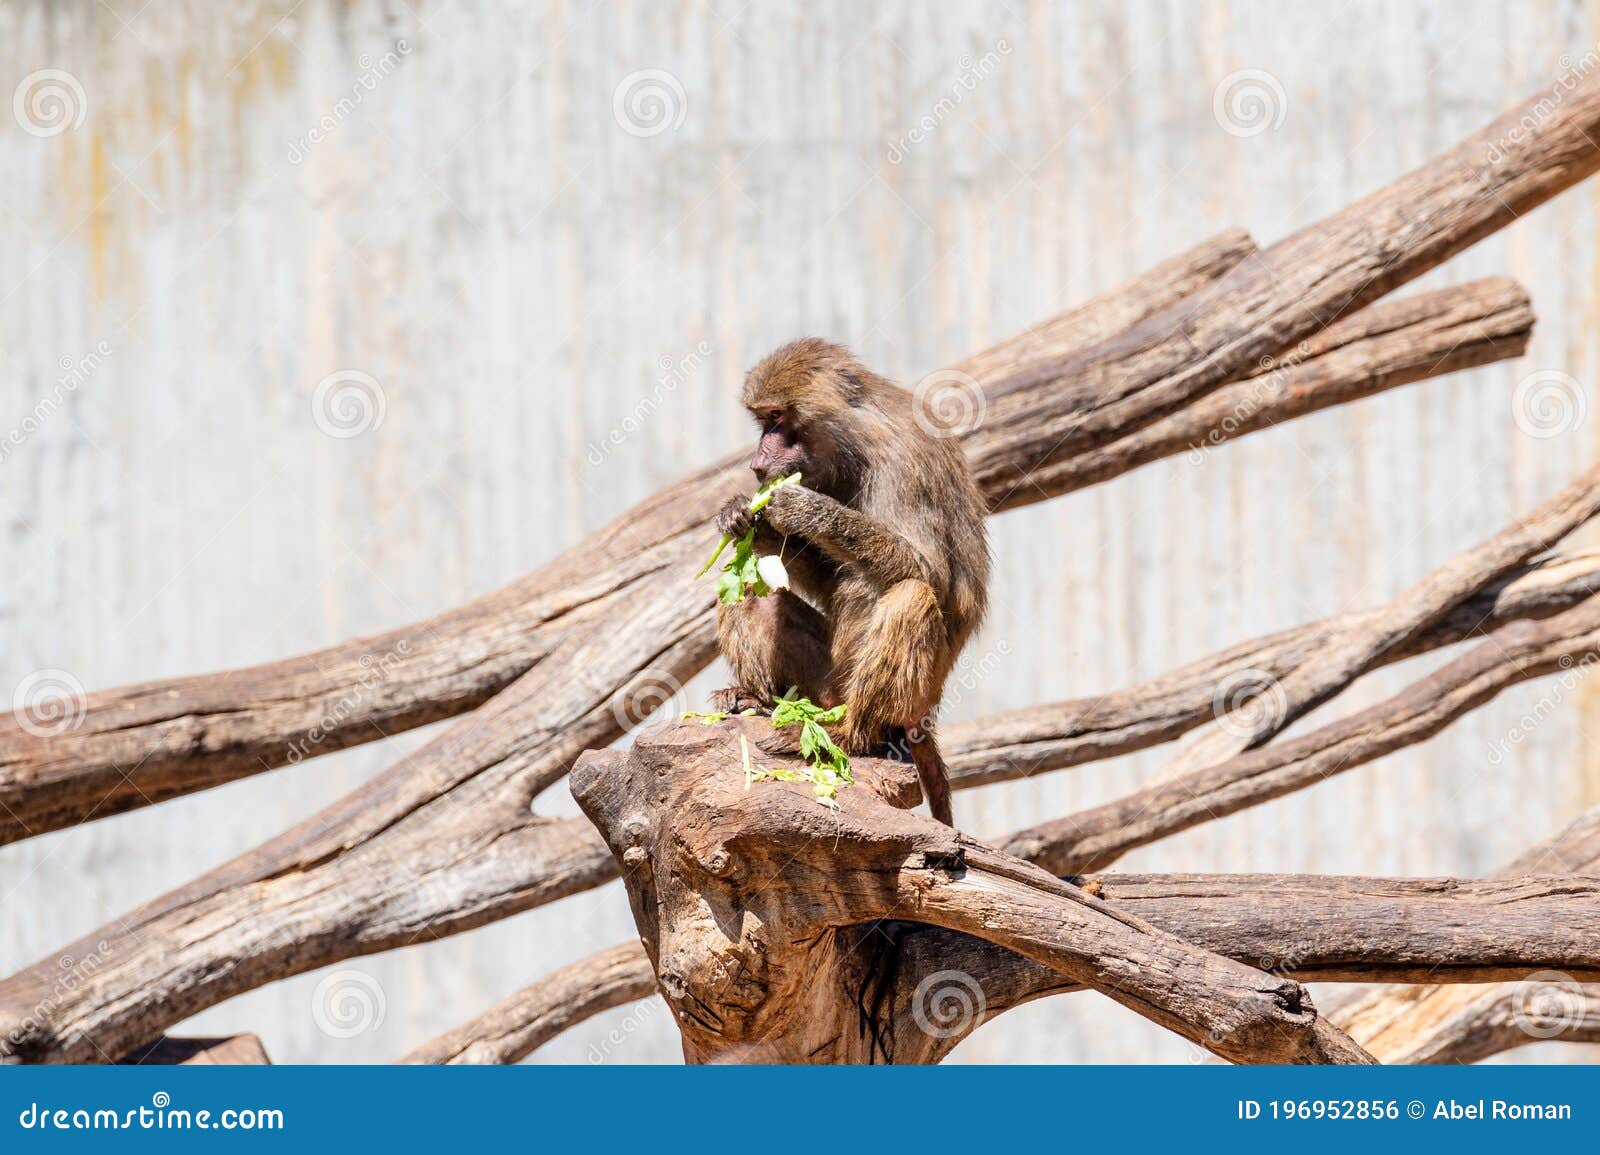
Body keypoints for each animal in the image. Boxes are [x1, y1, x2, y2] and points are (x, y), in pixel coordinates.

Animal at [709, 338, 989, 826]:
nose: (758, 463)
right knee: (745, 591)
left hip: (903, 699)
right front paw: (746, 519)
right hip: (825, 686)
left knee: (911, 596)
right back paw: (757, 699)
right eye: (763, 420)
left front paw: (801, 509)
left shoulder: (904, 465)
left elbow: (928, 571)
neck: (858, 438)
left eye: (777, 417)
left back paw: (848, 733)